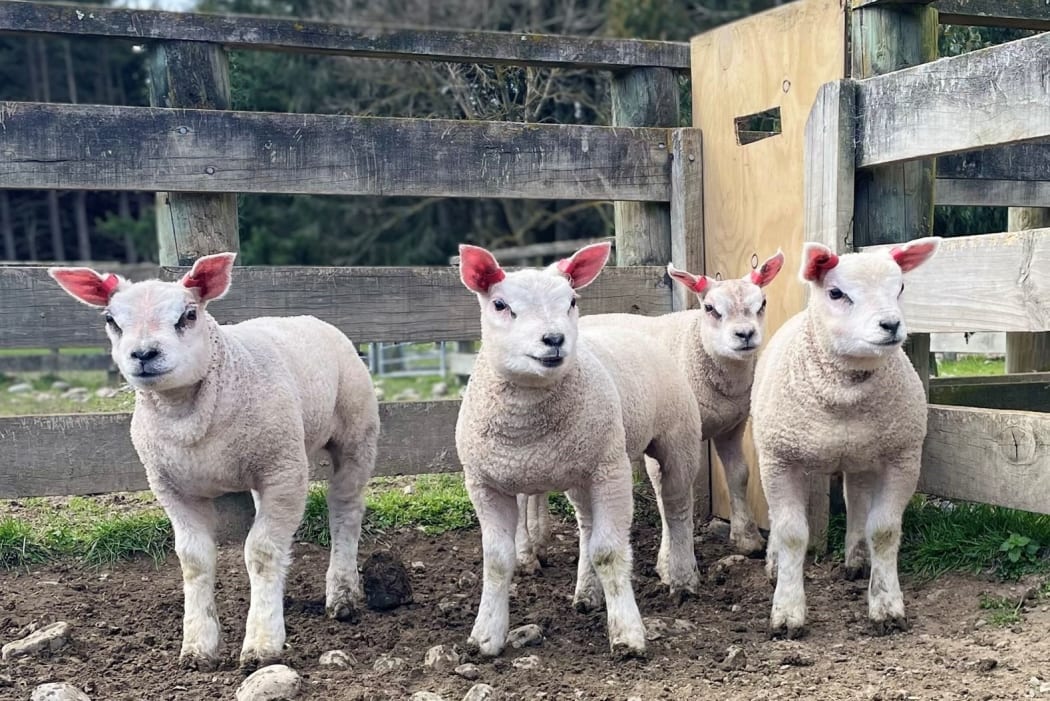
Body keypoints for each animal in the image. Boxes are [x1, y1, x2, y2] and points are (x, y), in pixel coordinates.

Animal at [48, 253, 379, 670]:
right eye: (111, 320)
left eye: (188, 315)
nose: (143, 355)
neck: (189, 423)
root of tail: (308, 318)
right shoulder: (171, 488)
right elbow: (195, 560)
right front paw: (197, 647)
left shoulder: (283, 472)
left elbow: (261, 552)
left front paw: (262, 644)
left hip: (355, 434)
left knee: (345, 510)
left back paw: (343, 593)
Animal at [454, 241, 647, 658]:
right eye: (500, 304)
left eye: (572, 300)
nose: (555, 339)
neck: (529, 436)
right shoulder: (484, 485)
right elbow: (497, 561)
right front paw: (486, 635)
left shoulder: (611, 470)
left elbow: (609, 552)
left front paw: (627, 633)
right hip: (577, 475)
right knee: (587, 528)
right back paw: (587, 594)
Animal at [515, 250, 785, 569]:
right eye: (710, 308)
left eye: (762, 303)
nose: (745, 334)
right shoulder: (669, 431)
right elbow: (664, 488)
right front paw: (671, 560)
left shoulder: (731, 425)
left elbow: (739, 474)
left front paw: (748, 539)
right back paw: (525, 555)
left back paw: (540, 541)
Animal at [750, 237, 940, 639]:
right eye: (836, 293)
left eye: (900, 287)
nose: (891, 324)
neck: (844, 401)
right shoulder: (781, 458)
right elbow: (791, 534)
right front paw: (787, 612)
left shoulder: (903, 456)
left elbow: (884, 530)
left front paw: (886, 606)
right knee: (778, 516)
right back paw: (774, 563)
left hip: (862, 454)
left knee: (857, 499)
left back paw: (857, 558)